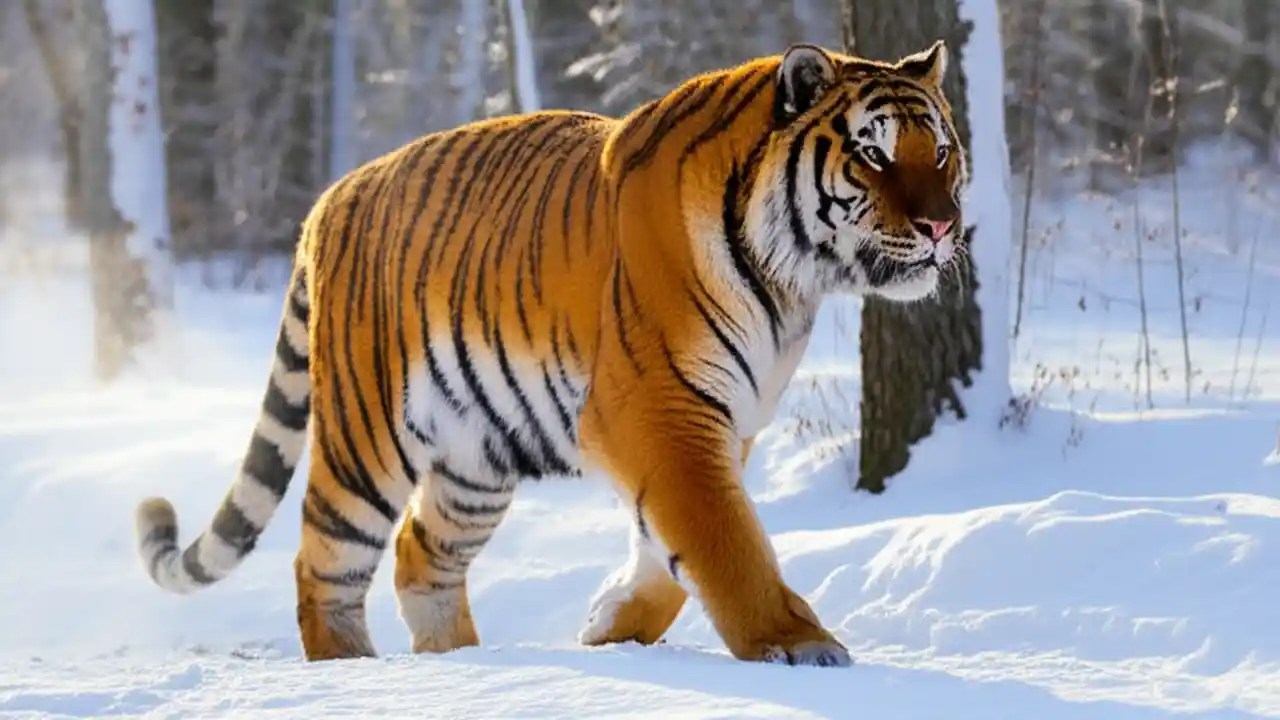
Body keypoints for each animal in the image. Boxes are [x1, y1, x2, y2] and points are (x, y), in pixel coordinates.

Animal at [134, 40, 966, 668]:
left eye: (942, 154)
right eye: (872, 156)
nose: (943, 228)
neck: (792, 281)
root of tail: (330, 198)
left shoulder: (724, 416)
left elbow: (674, 547)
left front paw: (609, 625)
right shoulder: (657, 406)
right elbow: (725, 538)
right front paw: (796, 644)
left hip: (476, 456)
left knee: (420, 554)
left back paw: (458, 661)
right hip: (365, 438)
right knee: (327, 563)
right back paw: (355, 672)